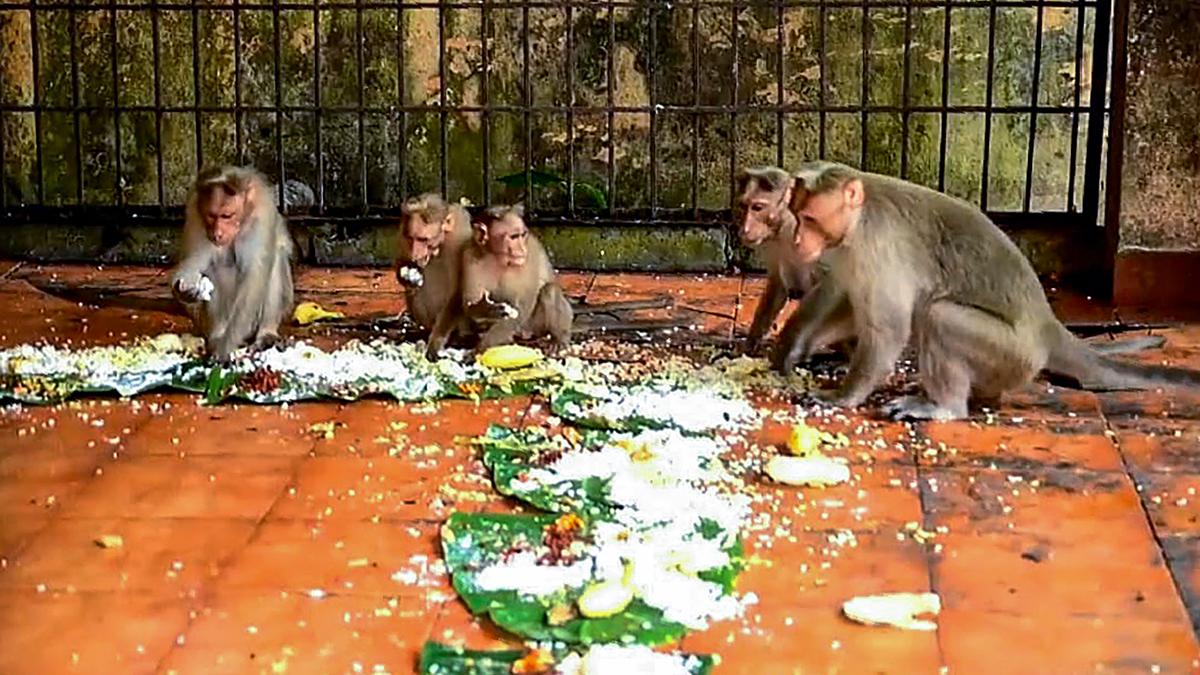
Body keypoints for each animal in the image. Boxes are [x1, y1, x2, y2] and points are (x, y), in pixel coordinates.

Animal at [170, 165, 295, 363]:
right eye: (211, 216)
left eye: (226, 215)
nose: (217, 233)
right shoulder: (195, 214)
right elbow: (195, 261)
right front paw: (186, 291)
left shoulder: (261, 214)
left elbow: (254, 279)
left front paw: (225, 347)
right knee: (215, 266)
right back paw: (217, 333)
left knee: (274, 259)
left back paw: (266, 334)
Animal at [394, 193, 474, 334]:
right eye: (412, 238)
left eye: (423, 239)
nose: (416, 254)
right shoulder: (403, 232)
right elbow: (401, 260)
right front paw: (407, 276)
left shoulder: (459, 236)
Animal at [425, 204, 573, 359]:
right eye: (513, 237)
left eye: (522, 235)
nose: (522, 248)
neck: (497, 257)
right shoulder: (469, 255)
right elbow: (463, 300)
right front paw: (486, 309)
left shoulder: (527, 260)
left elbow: (522, 308)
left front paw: (479, 351)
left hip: (534, 325)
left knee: (550, 291)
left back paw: (559, 340)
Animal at [735, 166, 857, 372]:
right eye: (743, 206)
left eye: (757, 207)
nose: (744, 229)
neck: (785, 224)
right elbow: (776, 285)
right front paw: (749, 345)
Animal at [785, 160, 1200, 421]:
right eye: (796, 216)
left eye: (809, 218)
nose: (797, 239)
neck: (859, 217)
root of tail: (1047, 327)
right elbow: (851, 304)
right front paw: (800, 346)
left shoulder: (877, 246)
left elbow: (888, 328)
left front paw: (844, 395)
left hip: (1012, 356)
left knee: (939, 315)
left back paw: (945, 406)